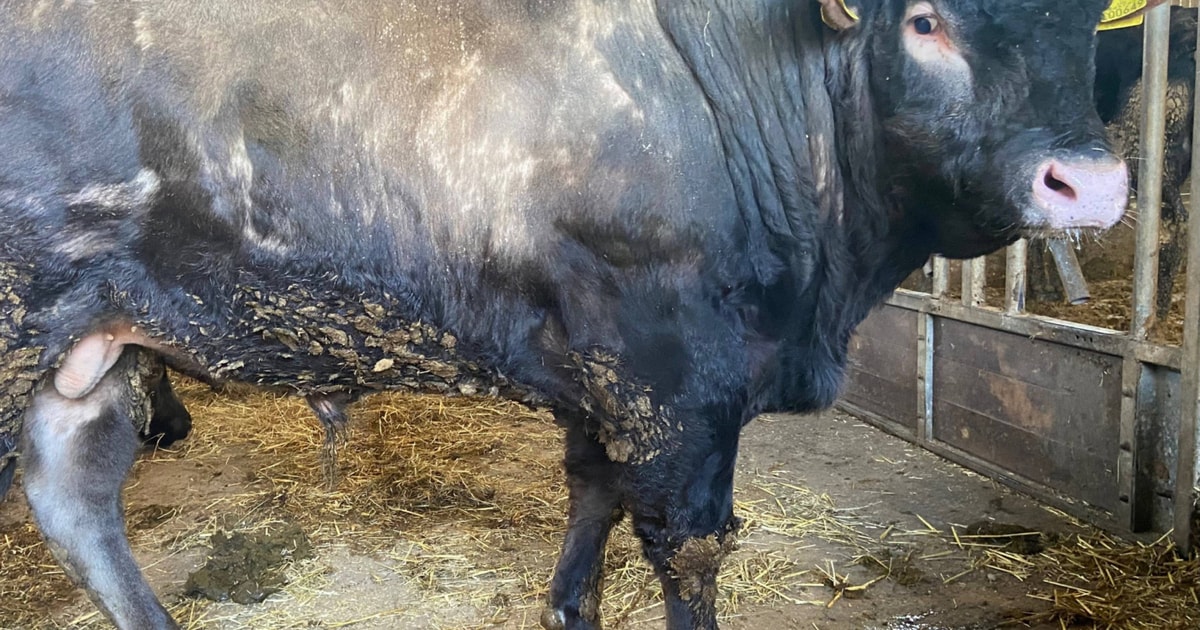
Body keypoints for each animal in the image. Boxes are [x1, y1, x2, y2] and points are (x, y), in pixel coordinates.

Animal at [0, 1, 1126, 629]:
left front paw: (567, 605)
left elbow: (592, 492)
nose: (1093, 183)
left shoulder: (599, 376)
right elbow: (687, 543)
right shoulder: (673, 381)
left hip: (92, 353)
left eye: (1082, 21)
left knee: (76, 502)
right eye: (925, 20)